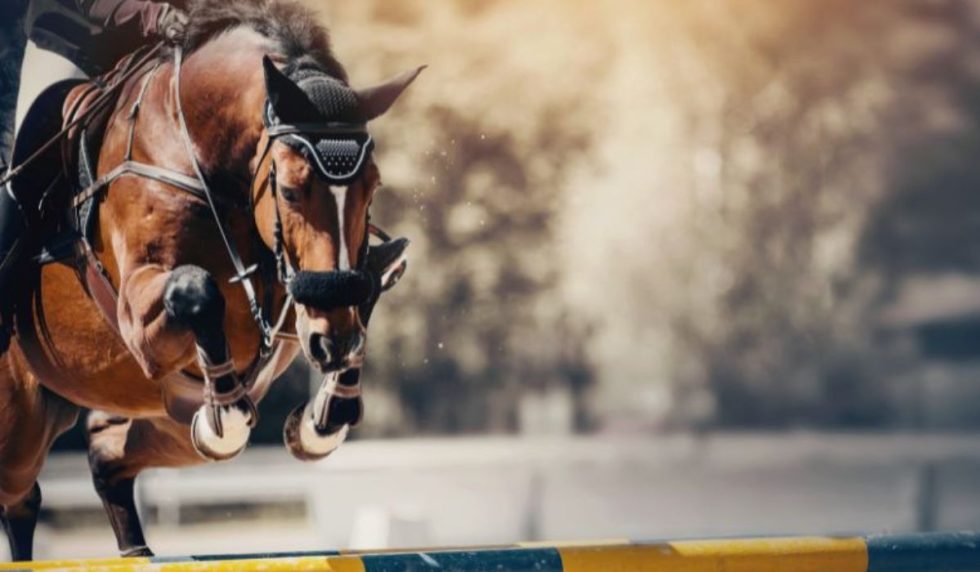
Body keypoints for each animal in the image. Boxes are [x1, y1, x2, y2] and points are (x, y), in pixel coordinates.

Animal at [0, 0, 421, 561]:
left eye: (372, 188)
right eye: (290, 191)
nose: (330, 344)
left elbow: (369, 282)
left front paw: (323, 417)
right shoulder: (138, 316)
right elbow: (197, 290)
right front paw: (228, 415)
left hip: (161, 421)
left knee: (103, 457)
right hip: (21, 424)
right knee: (21, 493)